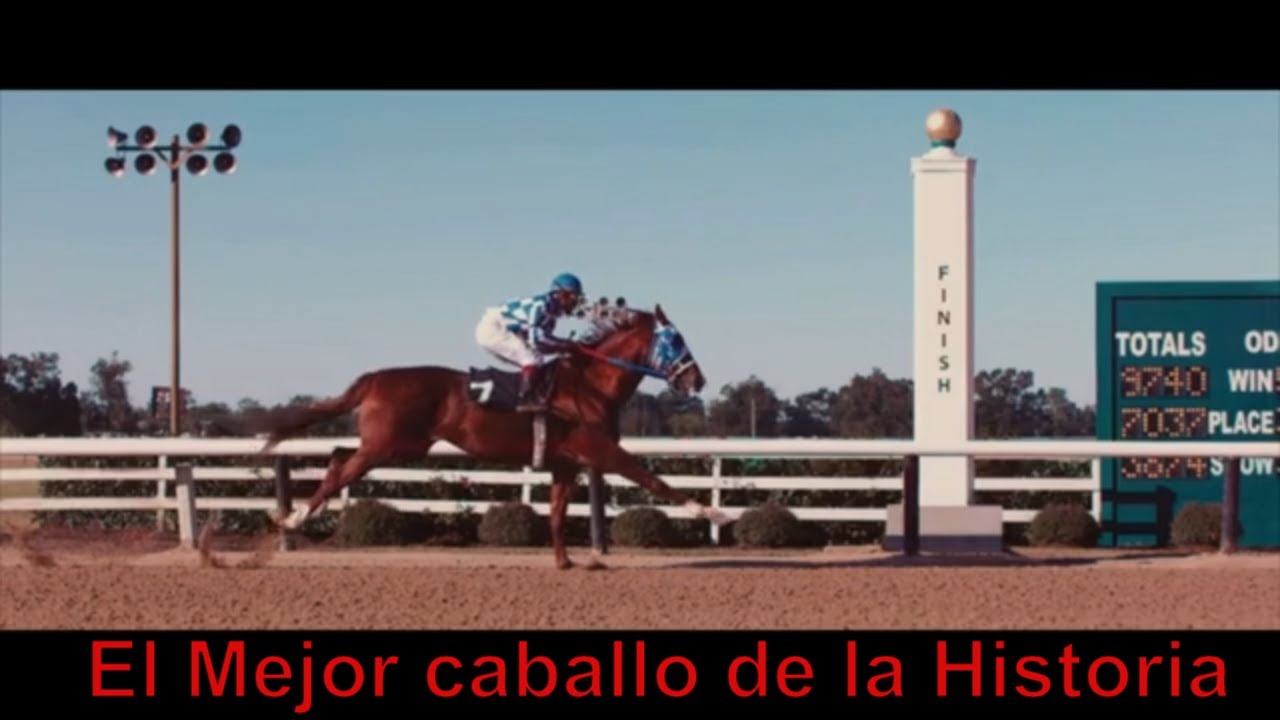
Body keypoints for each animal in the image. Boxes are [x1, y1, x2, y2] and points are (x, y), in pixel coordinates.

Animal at [251, 298, 730, 569]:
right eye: (676, 340)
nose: (698, 380)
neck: (592, 385)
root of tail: (376, 378)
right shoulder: (601, 451)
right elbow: (654, 480)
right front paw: (713, 514)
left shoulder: (565, 463)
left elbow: (557, 514)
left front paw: (565, 561)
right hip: (389, 444)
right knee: (340, 470)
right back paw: (291, 518)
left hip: (397, 443)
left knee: (337, 454)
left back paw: (294, 513)